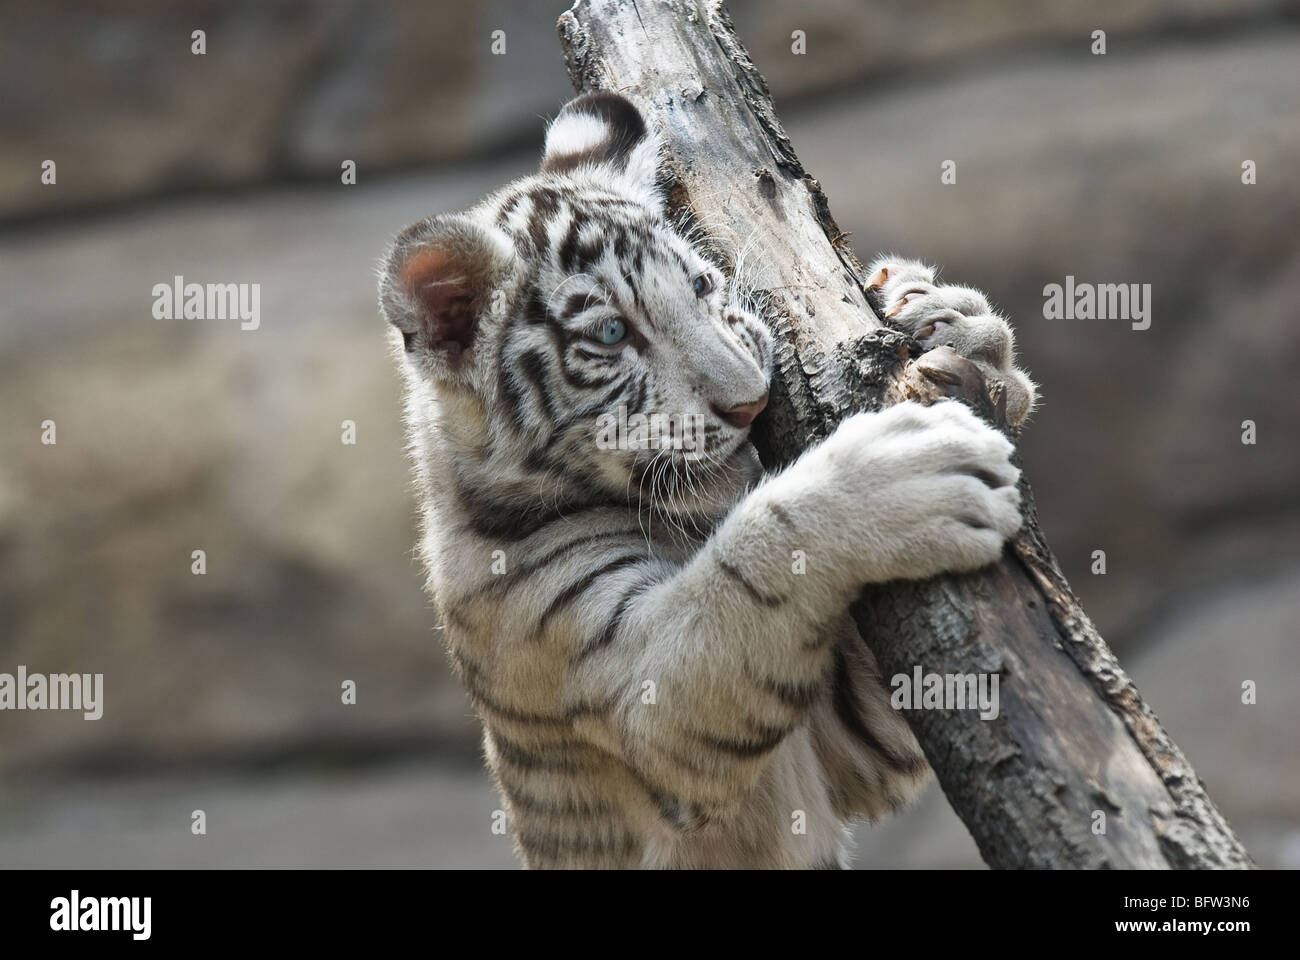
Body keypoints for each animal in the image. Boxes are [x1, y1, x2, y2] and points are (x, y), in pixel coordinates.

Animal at [377, 91, 1036, 869]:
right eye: (612, 335)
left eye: (697, 284)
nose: (751, 402)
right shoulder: (640, 689)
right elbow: (753, 565)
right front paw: (904, 478)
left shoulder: (849, 739)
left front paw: (950, 319)